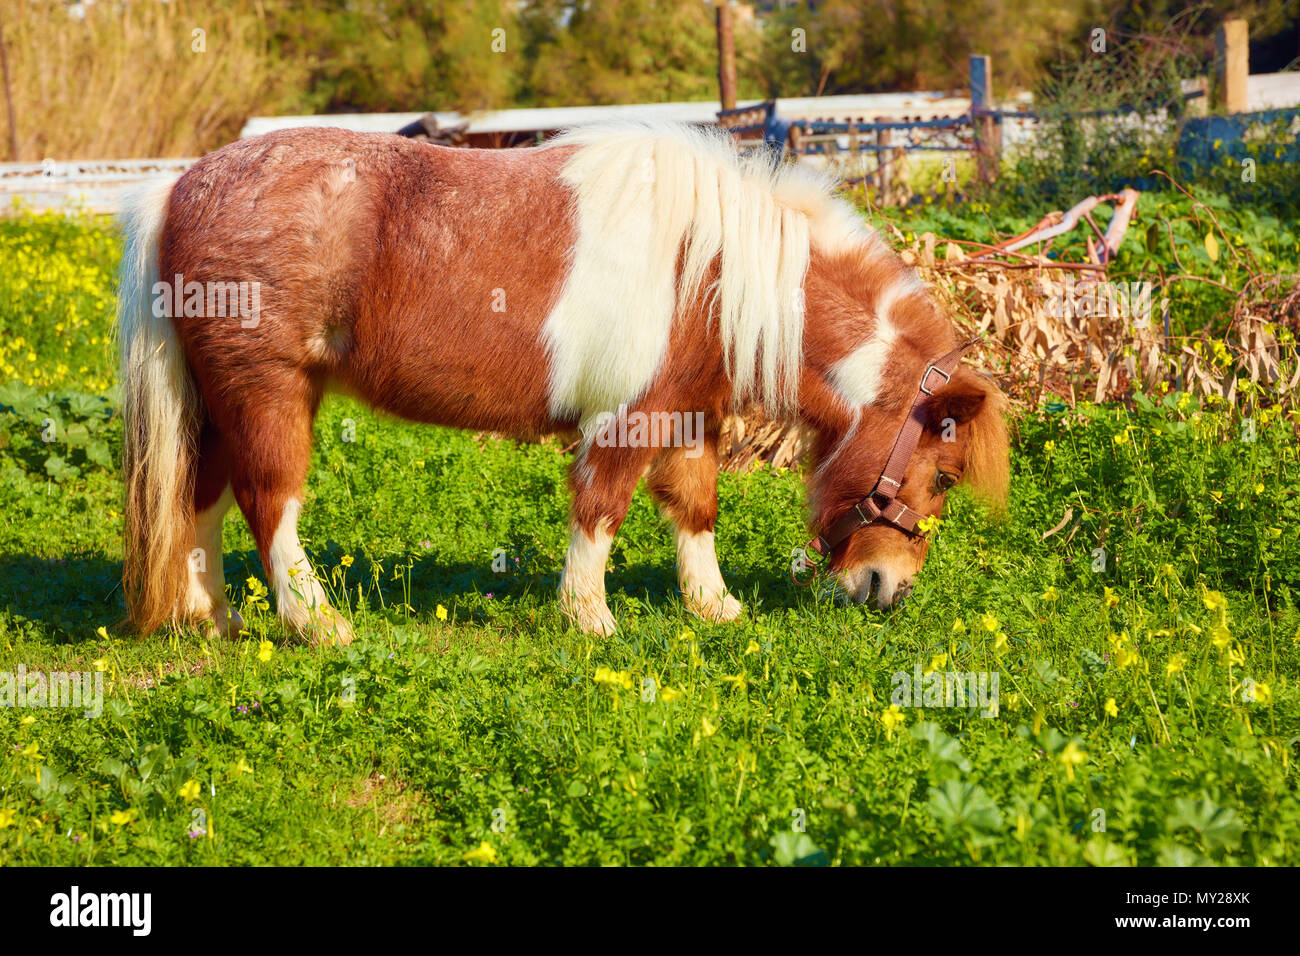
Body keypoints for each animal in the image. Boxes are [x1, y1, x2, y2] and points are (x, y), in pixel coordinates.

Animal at [116, 122, 1009, 644]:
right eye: (941, 475)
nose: (886, 589)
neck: (713, 270)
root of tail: (178, 186)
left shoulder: (687, 416)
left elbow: (695, 510)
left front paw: (712, 605)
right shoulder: (628, 420)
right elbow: (601, 510)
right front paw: (590, 616)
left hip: (218, 406)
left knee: (200, 498)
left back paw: (209, 616)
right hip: (269, 393)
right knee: (269, 503)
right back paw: (316, 621)